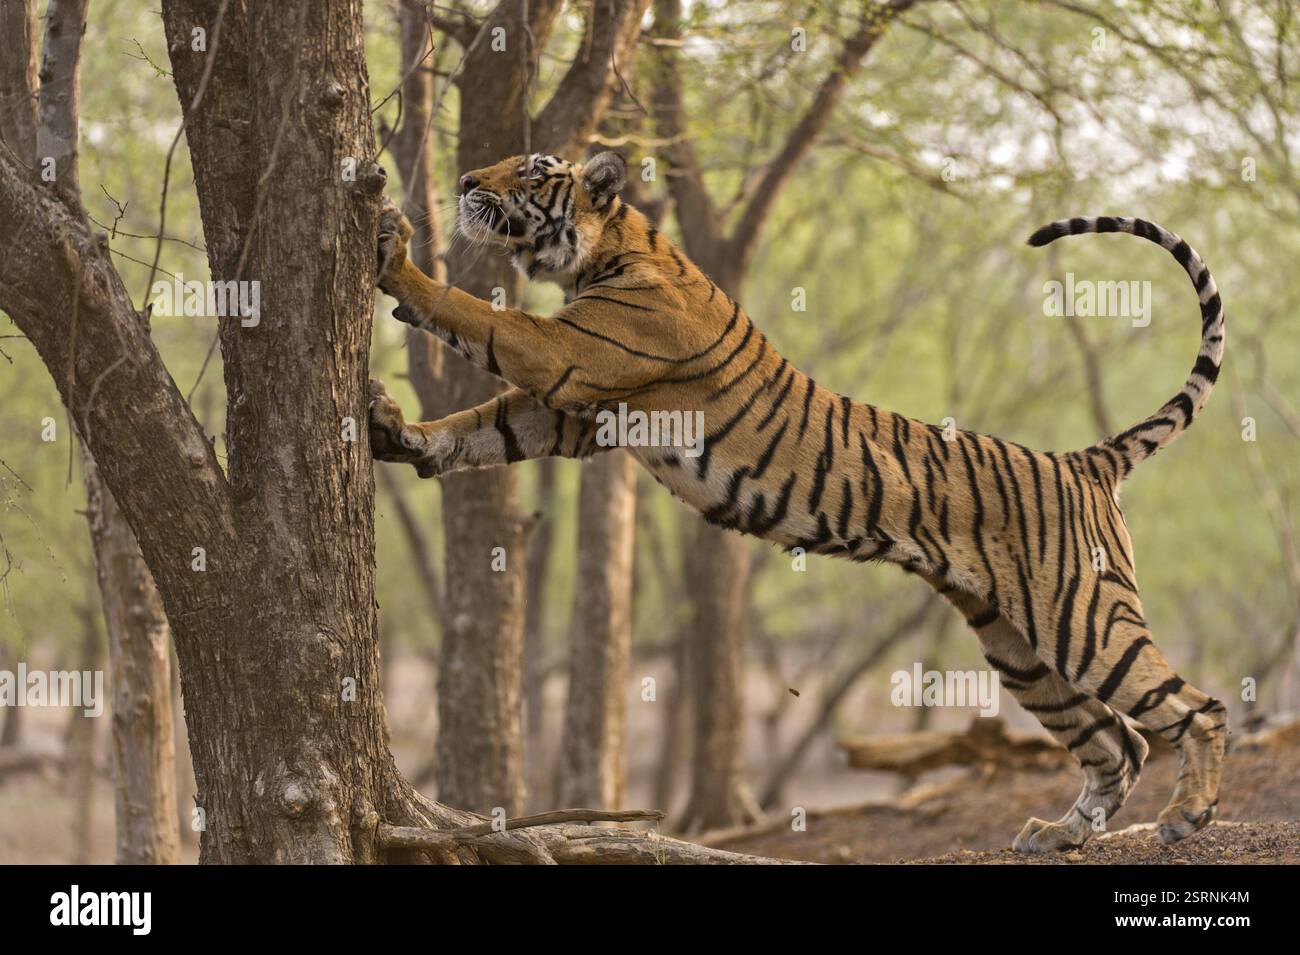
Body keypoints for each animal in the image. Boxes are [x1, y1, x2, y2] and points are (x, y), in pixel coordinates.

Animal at [369, 150, 1227, 853]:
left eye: (533, 169)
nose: (466, 179)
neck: (607, 251)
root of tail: (1084, 459)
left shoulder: (567, 356)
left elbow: (475, 315)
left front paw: (394, 252)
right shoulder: (575, 411)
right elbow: (484, 423)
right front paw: (399, 433)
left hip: (1083, 619)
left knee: (1195, 706)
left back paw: (1187, 814)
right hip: (1018, 645)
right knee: (1117, 743)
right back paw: (1059, 833)